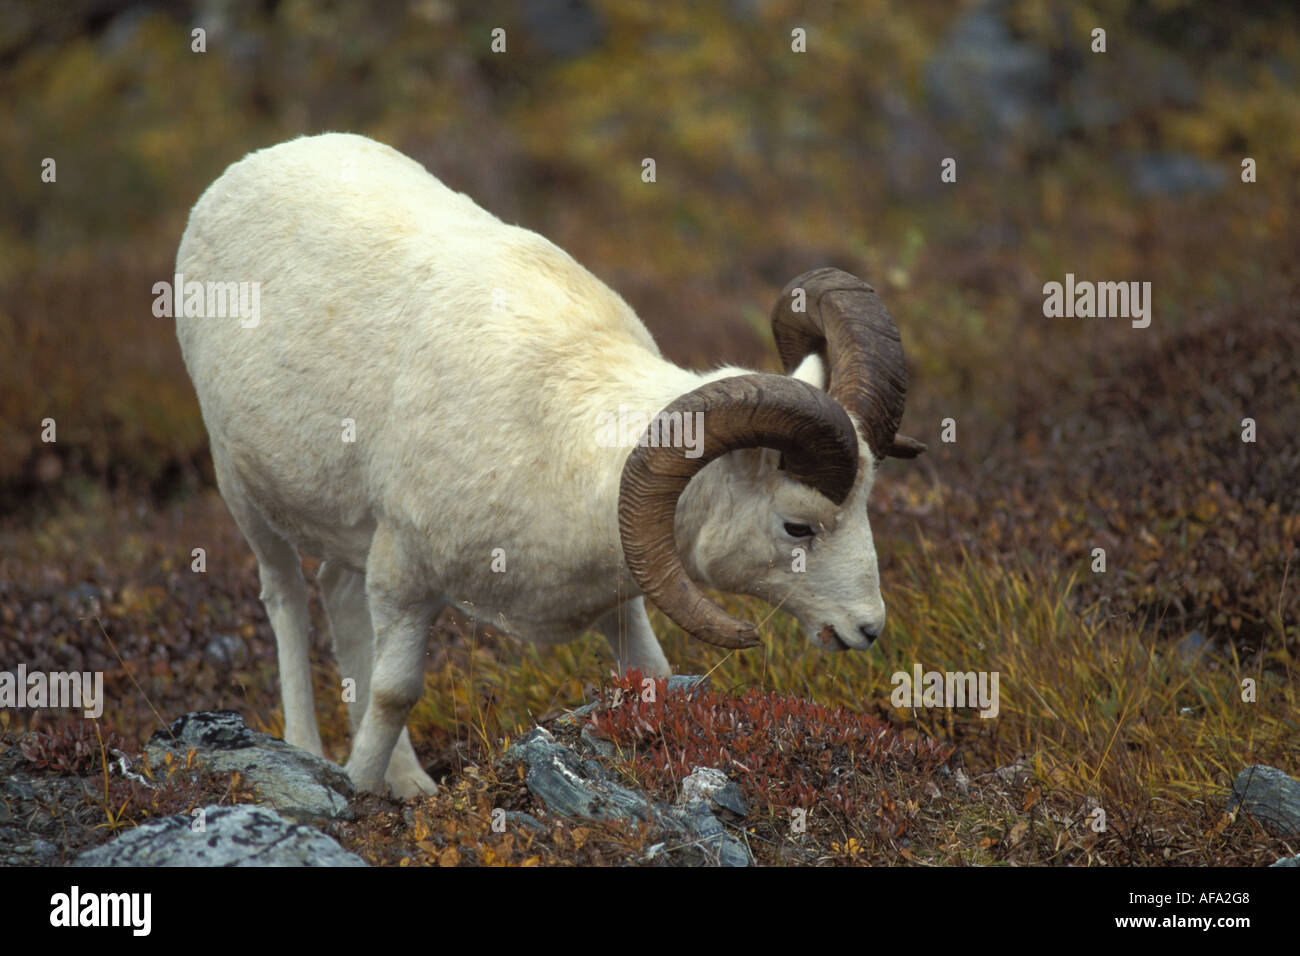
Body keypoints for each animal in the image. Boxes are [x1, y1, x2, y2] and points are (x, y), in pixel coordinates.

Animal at [174, 133, 925, 797]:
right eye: (798, 526)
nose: (868, 629)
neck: (557, 433)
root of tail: (244, 172)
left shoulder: (619, 600)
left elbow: (651, 675)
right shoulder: (405, 577)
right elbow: (395, 692)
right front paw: (357, 790)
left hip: (348, 532)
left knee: (333, 593)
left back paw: (409, 783)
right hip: (243, 491)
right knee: (287, 602)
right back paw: (311, 751)